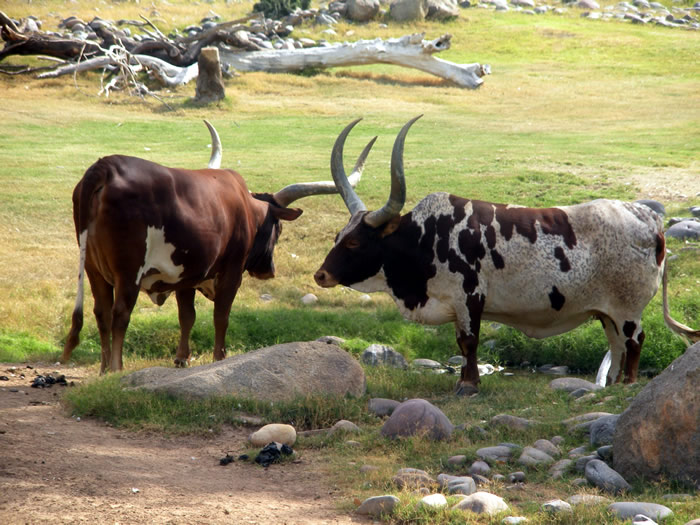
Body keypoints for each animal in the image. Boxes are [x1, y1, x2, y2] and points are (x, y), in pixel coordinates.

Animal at [63, 120, 377, 373]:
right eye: (278, 228)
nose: (269, 271)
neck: (246, 207)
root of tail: (103, 168)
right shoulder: (231, 272)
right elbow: (221, 316)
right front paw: (219, 358)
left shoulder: (186, 275)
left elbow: (187, 315)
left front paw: (182, 358)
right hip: (128, 272)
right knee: (120, 314)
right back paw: (116, 369)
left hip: (93, 269)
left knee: (101, 312)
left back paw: (104, 369)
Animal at [314, 116, 699, 394]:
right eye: (338, 237)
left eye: (354, 243)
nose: (320, 275)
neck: (425, 239)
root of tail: (648, 218)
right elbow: (462, 341)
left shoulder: (469, 297)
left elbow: (468, 342)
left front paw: (468, 385)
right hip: (608, 313)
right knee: (618, 346)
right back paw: (616, 385)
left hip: (628, 308)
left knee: (635, 342)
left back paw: (630, 384)